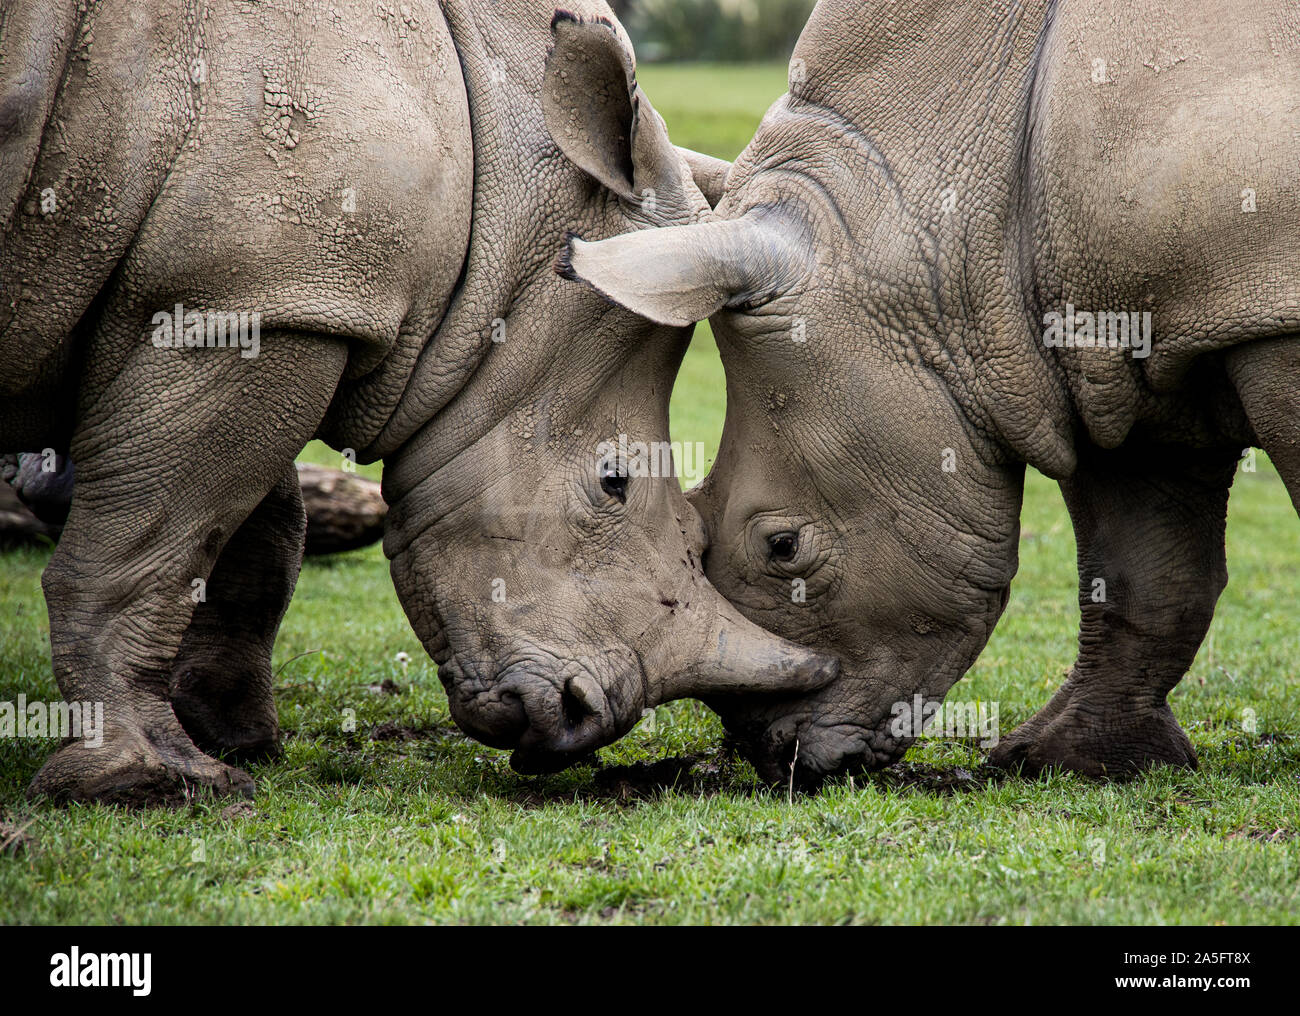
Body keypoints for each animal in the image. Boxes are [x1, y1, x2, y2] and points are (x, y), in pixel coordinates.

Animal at [0, 0, 835, 804]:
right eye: (613, 482)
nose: (579, 721)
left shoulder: (276, 302)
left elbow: (252, 534)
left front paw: (232, 736)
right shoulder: (238, 304)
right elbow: (151, 546)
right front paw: (150, 781)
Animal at [560, 0, 1300, 785]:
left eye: (784, 547)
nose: (773, 753)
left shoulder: (1260, 309)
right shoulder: (1106, 346)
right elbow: (1145, 571)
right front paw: (1071, 763)